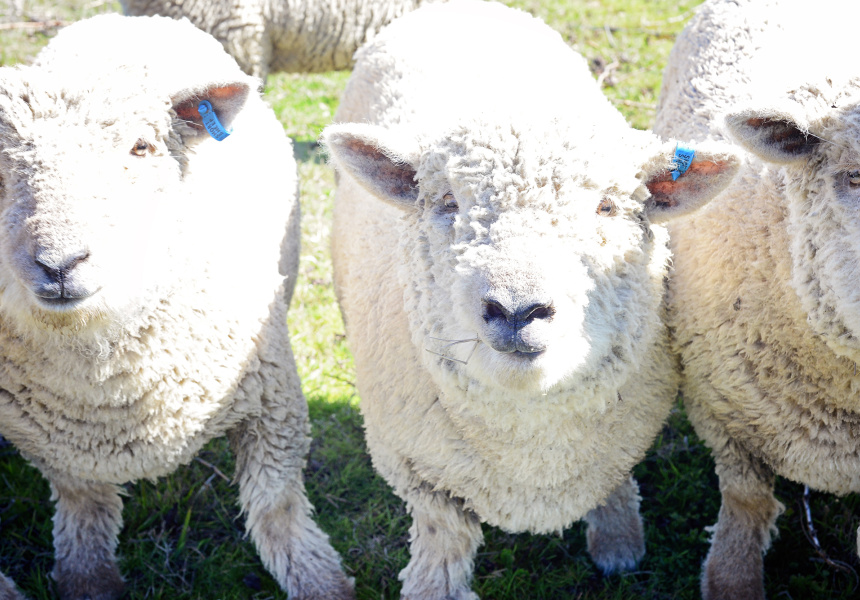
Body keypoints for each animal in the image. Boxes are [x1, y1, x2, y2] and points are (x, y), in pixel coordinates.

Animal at [0, 14, 353, 600]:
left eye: (141, 147)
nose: (60, 263)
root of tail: (129, 18)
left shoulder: (272, 399)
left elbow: (275, 504)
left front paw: (321, 580)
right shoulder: (57, 442)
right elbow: (84, 505)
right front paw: (90, 579)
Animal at [321, 1, 740, 597]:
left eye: (607, 207)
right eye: (447, 203)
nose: (518, 310)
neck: (532, 452)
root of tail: (455, 8)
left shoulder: (621, 440)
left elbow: (613, 480)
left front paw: (619, 545)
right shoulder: (426, 479)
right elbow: (441, 556)